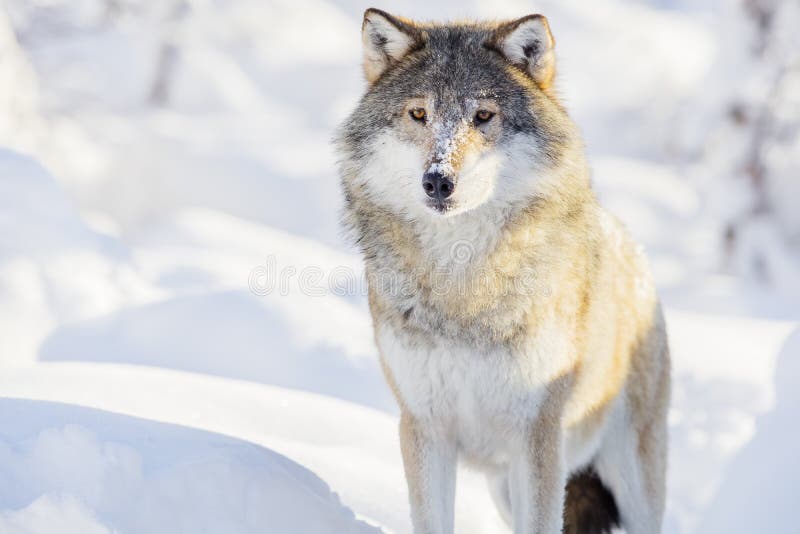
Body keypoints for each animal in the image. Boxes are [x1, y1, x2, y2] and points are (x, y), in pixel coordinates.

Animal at [335, 9, 670, 534]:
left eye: (483, 116)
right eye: (418, 114)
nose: (437, 180)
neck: (462, 283)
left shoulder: (537, 436)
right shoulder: (425, 428)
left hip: (630, 482)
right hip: (503, 488)